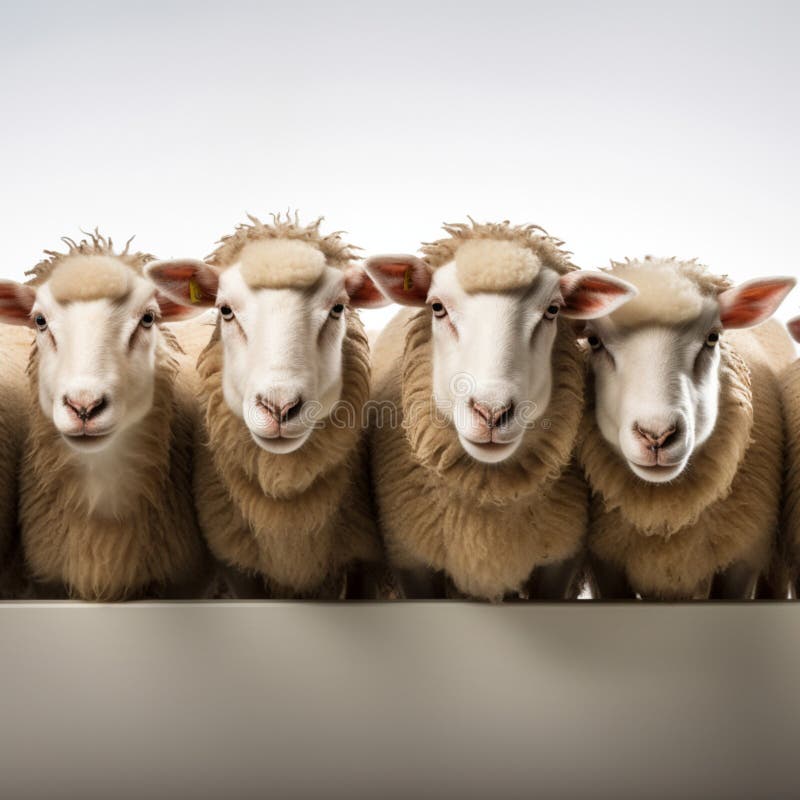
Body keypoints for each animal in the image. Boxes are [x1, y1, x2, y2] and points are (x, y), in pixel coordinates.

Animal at [363, 219, 638, 601]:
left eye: (553, 310)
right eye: (437, 307)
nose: (491, 412)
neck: (487, 496)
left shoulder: (559, 559)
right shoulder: (411, 560)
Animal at [577, 256, 796, 600]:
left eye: (713, 337)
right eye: (594, 341)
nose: (657, 435)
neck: (667, 511)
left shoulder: (741, 557)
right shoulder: (607, 562)